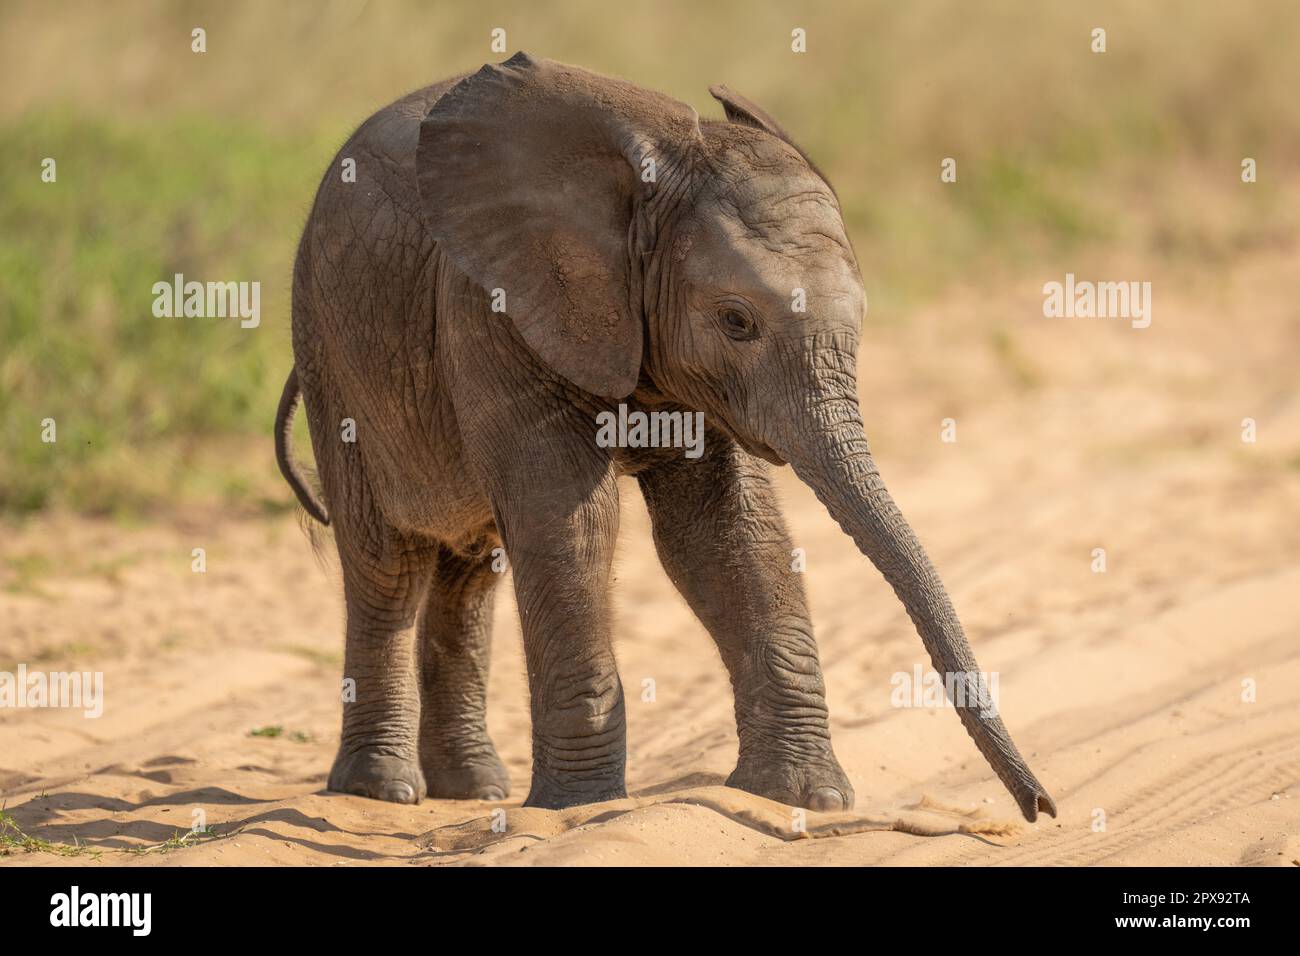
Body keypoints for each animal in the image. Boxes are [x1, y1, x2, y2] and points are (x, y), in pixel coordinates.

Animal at [274, 52, 1057, 821]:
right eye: (736, 321)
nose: (1041, 806)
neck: (654, 183)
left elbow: (722, 532)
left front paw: (805, 797)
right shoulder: (490, 305)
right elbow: (571, 523)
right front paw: (580, 808)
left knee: (471, 571)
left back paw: (474, 789)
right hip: (327, 342)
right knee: (388, 562)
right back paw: (382, 790)